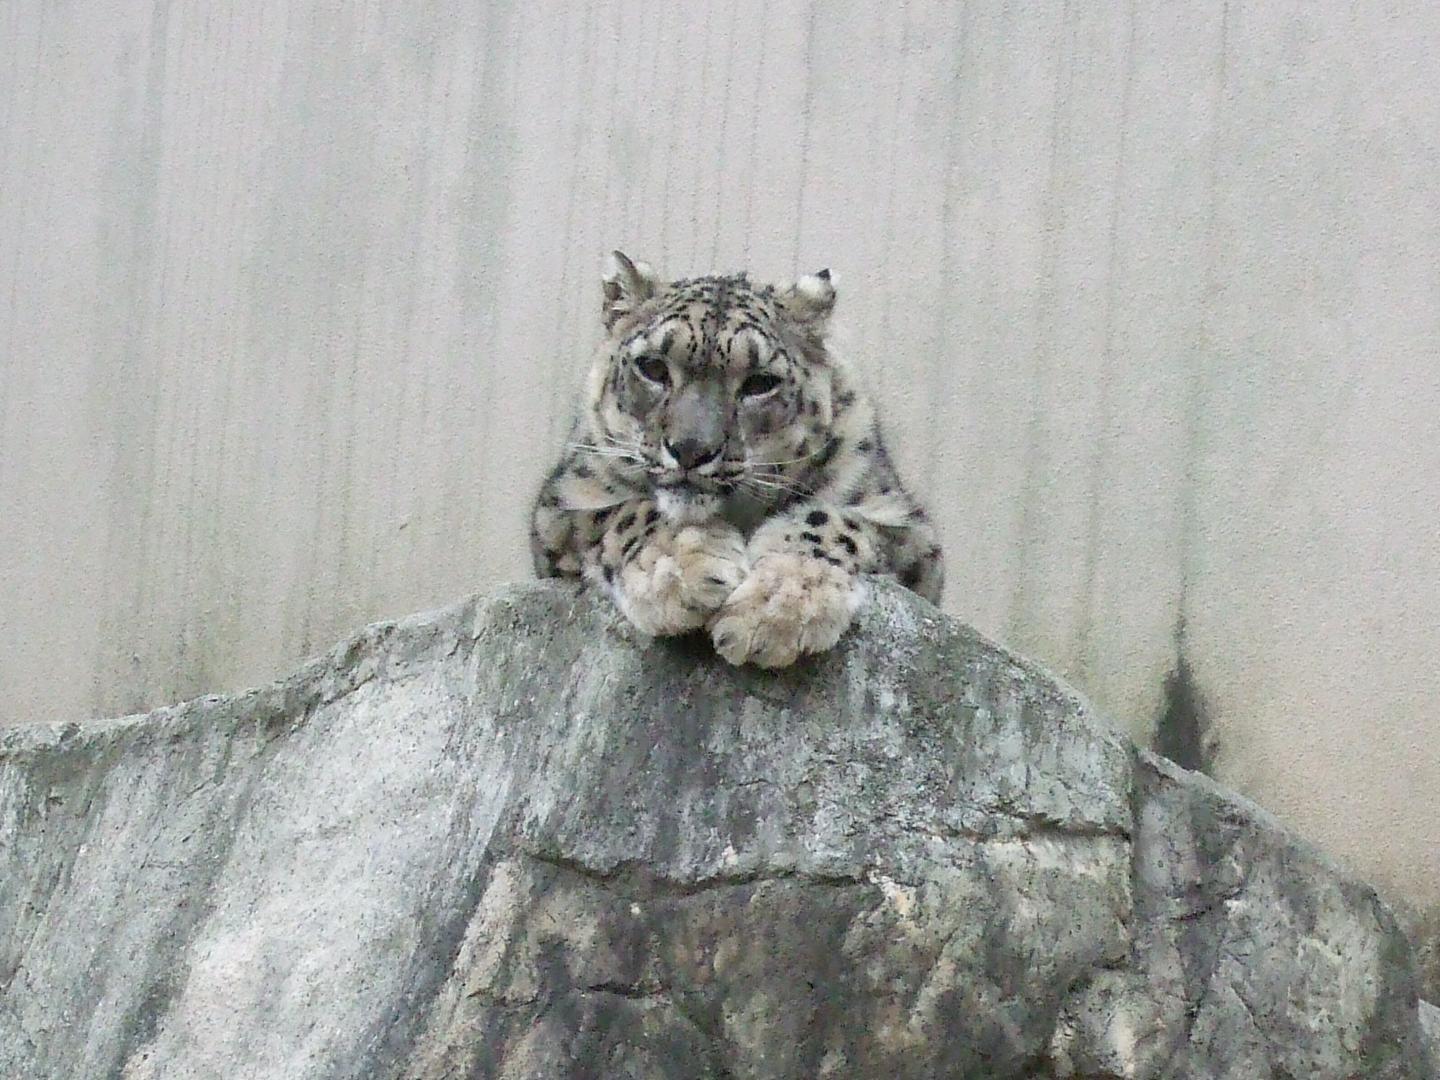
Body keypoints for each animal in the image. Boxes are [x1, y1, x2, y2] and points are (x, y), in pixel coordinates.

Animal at [530, 252, 943, 668]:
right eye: (652, 367)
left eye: (761, 382)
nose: (690, 449)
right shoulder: (562, 502)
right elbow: (623, 512)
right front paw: (682, 568)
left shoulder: (909, 530)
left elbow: (832, 520)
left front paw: (779, 605)